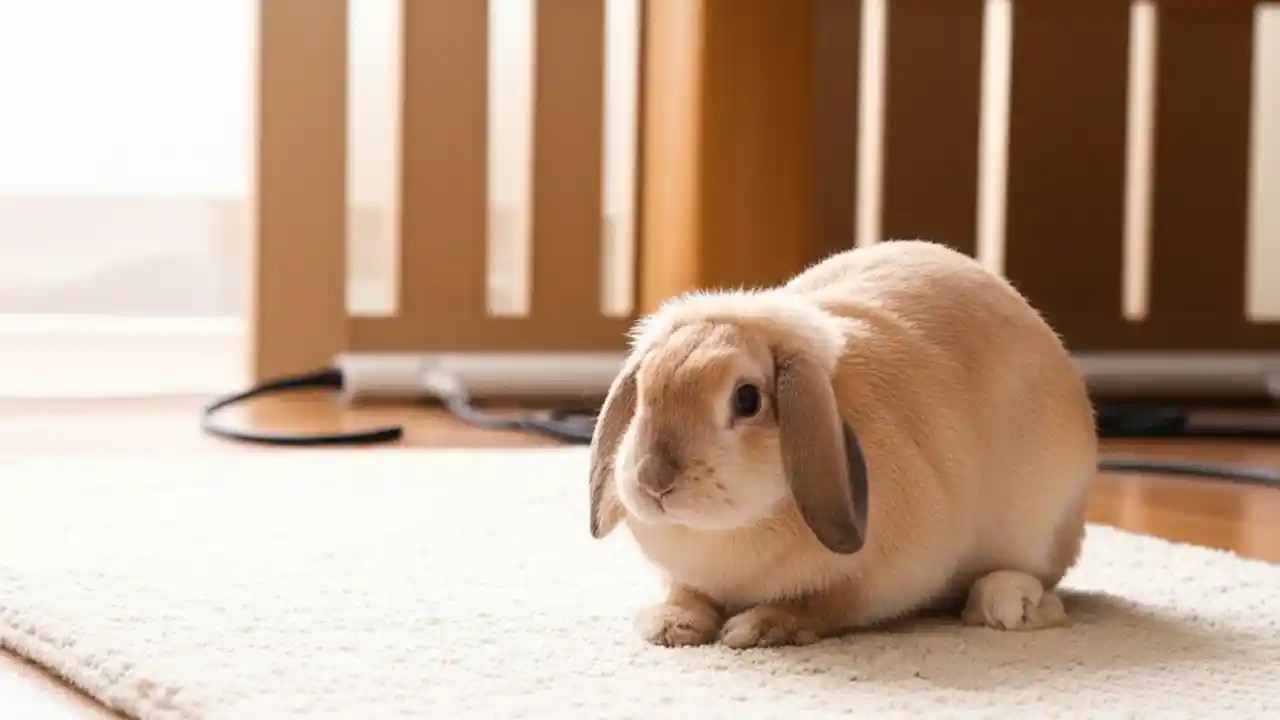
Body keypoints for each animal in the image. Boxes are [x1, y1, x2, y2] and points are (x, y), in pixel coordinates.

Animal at [587, 239, 1098, 648]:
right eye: (644, 392)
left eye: (747, 399)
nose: (653, 479)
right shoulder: (689, 576)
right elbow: (687, 592)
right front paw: (670, 625)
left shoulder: (882, 579)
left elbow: (825, 603)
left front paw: (762, 626)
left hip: (1038, 530)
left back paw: (1006, 601)